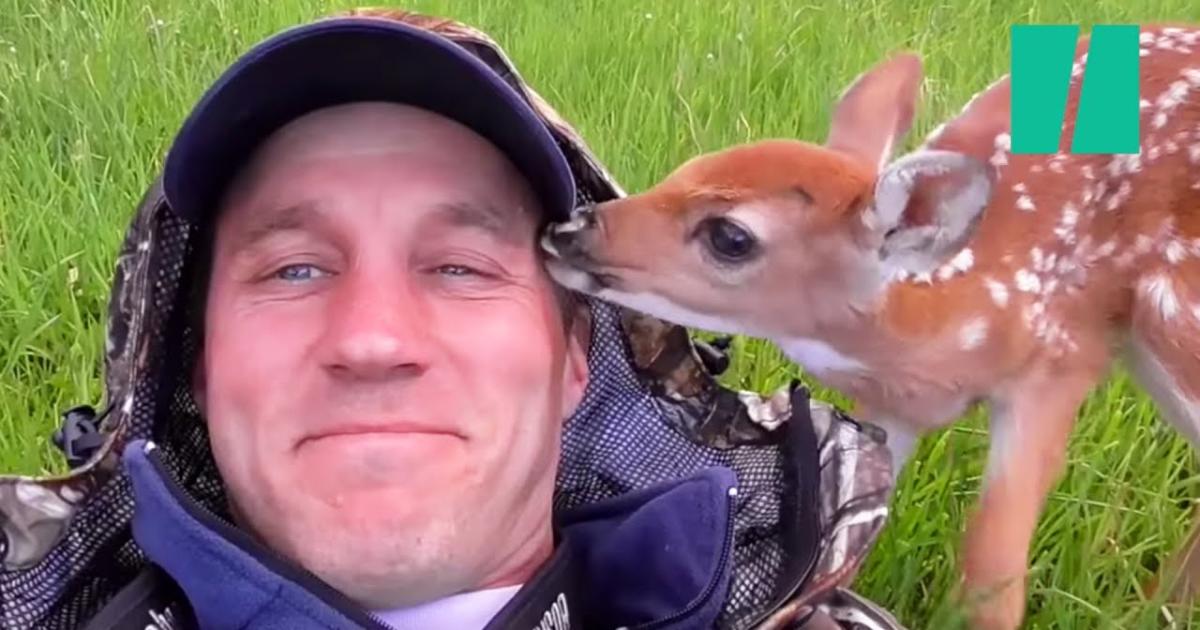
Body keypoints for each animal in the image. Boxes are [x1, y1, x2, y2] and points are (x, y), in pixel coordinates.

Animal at [539, 24, 1200, 630]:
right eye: (687, 168)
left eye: (731, 236)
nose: (567, 230)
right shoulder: (889, 411)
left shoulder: (1061, 359)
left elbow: (990, 578)